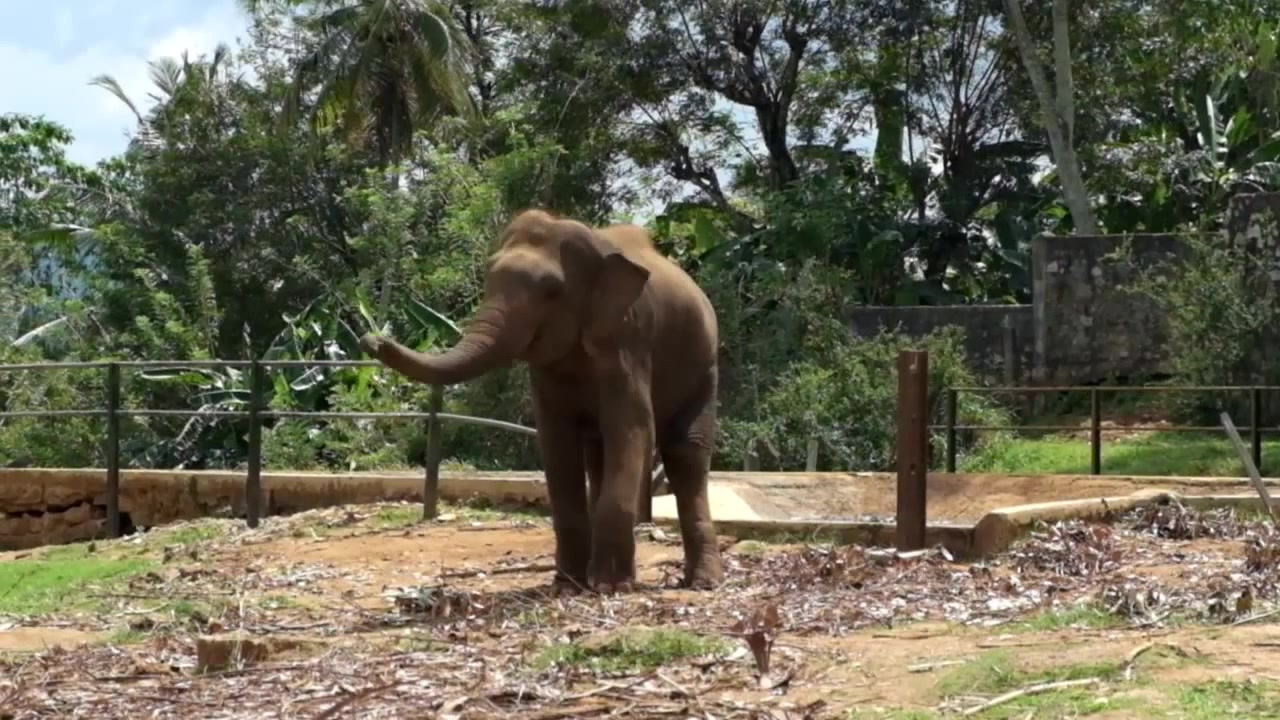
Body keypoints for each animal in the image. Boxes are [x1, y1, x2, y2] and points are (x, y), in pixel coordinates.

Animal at [358, 209, 725, 593]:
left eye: (552, 291)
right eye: (488, 280)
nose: (371, 339)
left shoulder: (628, 338)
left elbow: (633, 430)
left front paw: (608, 588)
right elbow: (556, 440)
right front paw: (567, 586)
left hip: (705, 366)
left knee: (685, 452)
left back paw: (701, 582)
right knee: (599, 453)